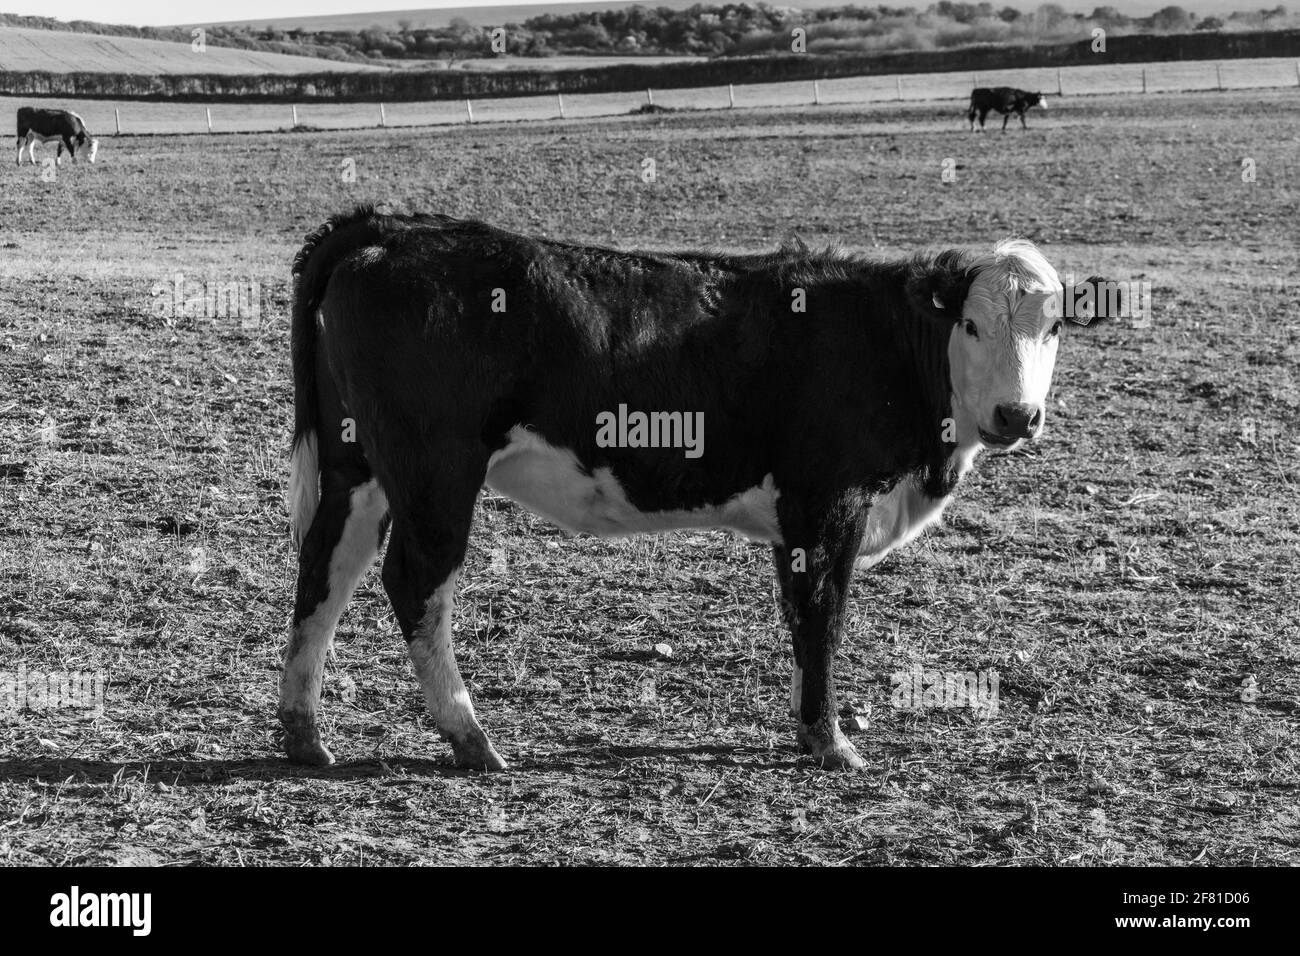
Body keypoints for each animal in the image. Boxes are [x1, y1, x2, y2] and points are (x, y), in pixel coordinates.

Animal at [279, 207, 1107, 772]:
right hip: (435, 470)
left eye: (1054, 327)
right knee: (413, 579)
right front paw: (829, 740)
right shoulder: (827, 503)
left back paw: (302, 730)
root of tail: (395, 227)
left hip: (357, 468)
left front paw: (812, 729)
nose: (1016, 415)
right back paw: (469, 734)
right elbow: (822, 617)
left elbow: (802, 618)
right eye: (970, 326)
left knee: (326, 569)